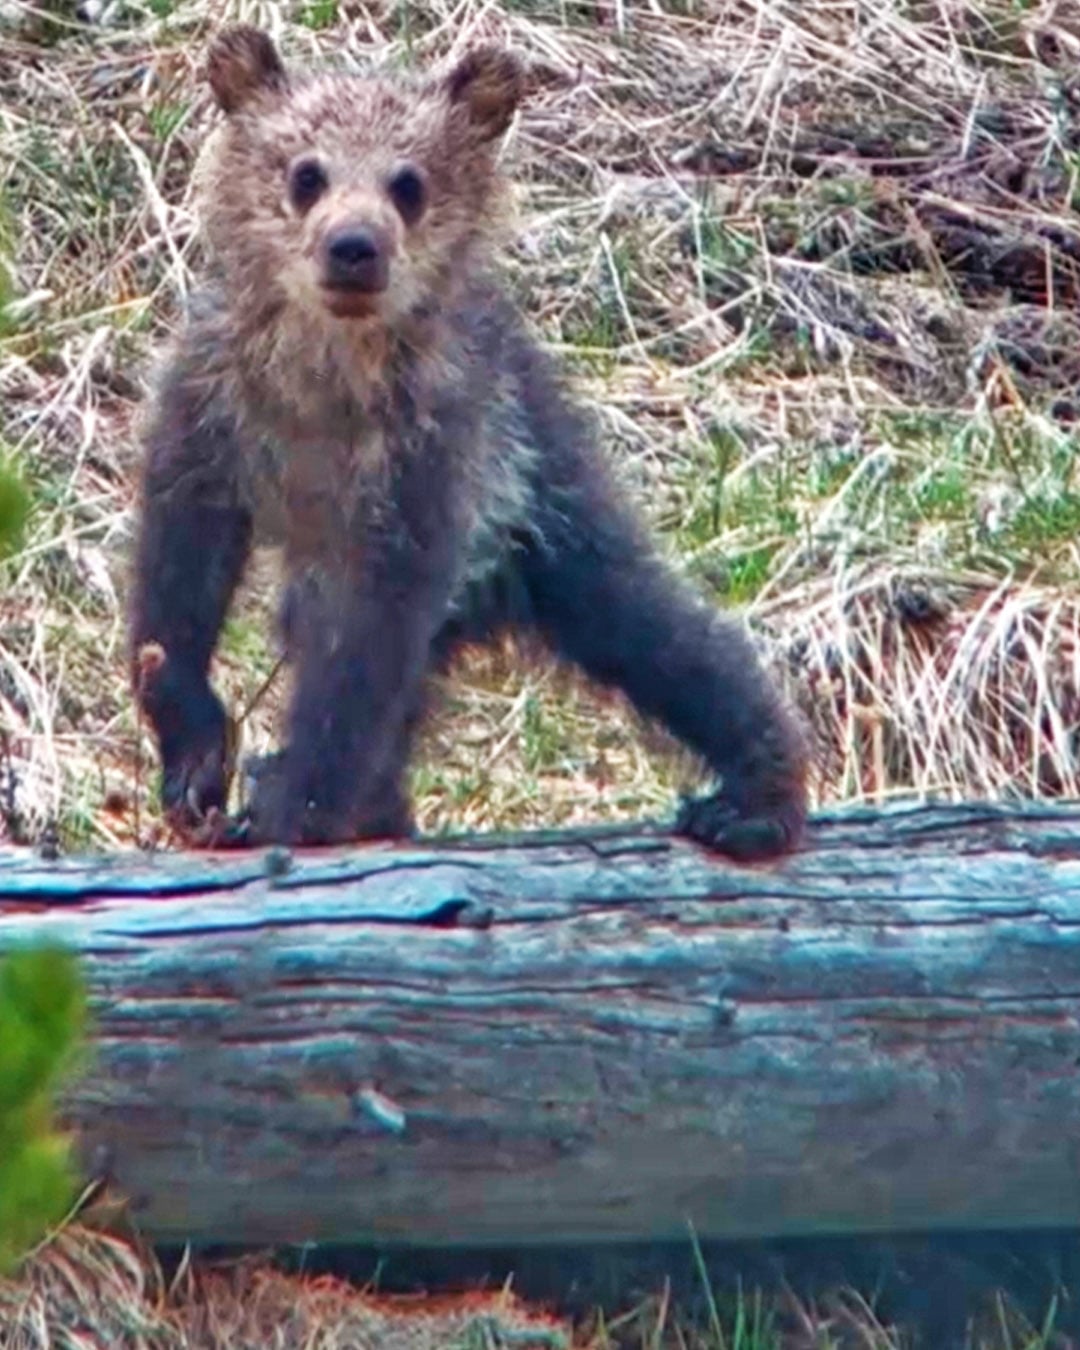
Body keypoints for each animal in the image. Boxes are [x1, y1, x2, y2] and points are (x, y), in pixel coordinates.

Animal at [128, 25, 809, 861]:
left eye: (409, 183)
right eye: (306, 173)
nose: (353, 247)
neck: (327, 385)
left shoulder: (424, 461)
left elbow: (362, 650)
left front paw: (293, 802)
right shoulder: (214, 408)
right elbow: (177, 574)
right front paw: (196, 759)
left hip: (539, 499)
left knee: (655, 629)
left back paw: (752, 797)